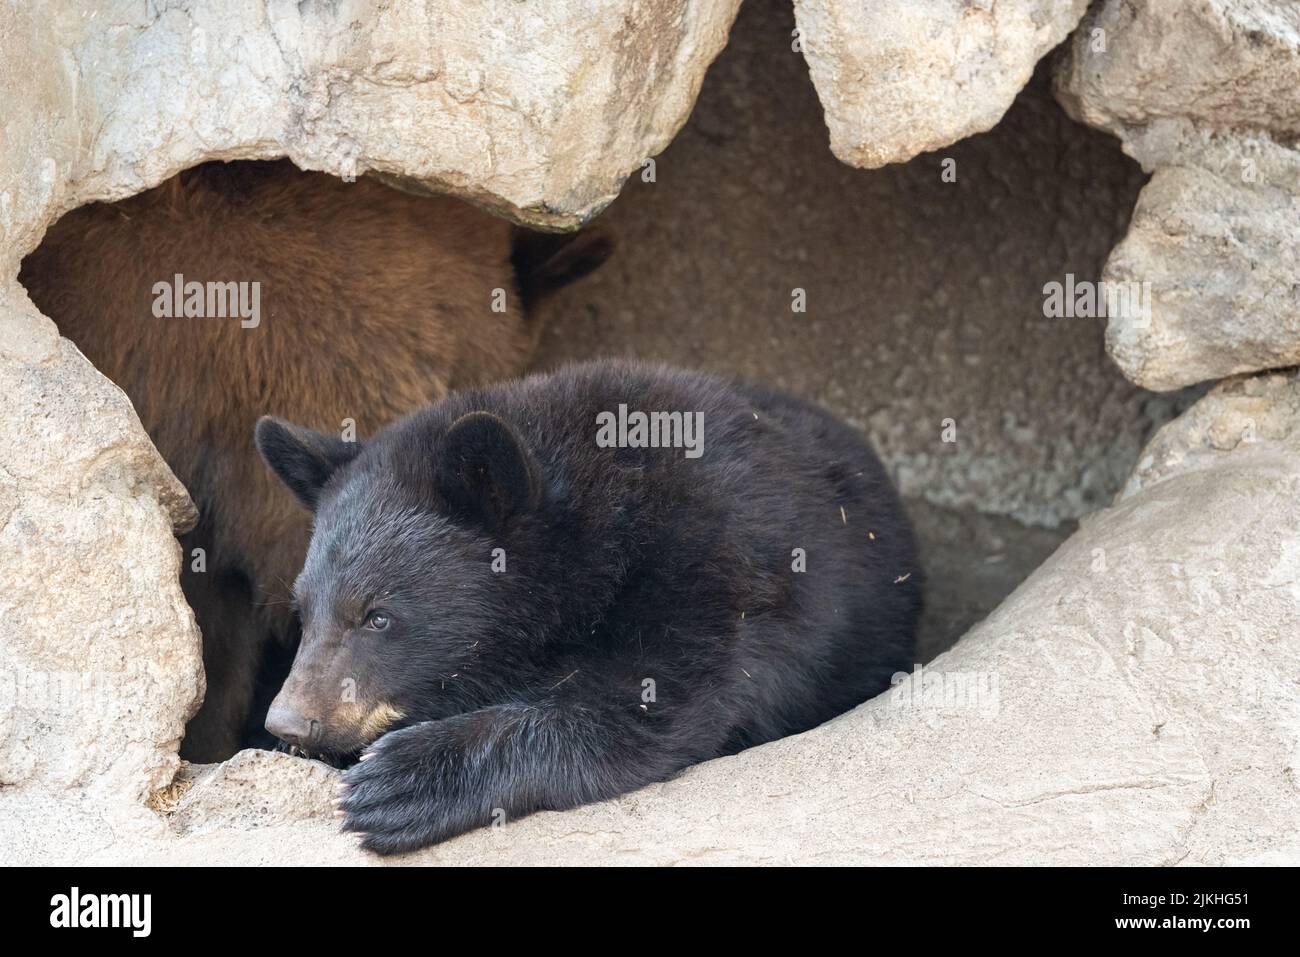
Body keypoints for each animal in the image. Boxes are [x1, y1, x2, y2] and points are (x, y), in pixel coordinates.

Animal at [255, 359, 923, 853]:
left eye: (378, 615)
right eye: (303, 610)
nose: (288, 722)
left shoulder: (713, 565)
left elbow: (643, 707)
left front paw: (397, 782)